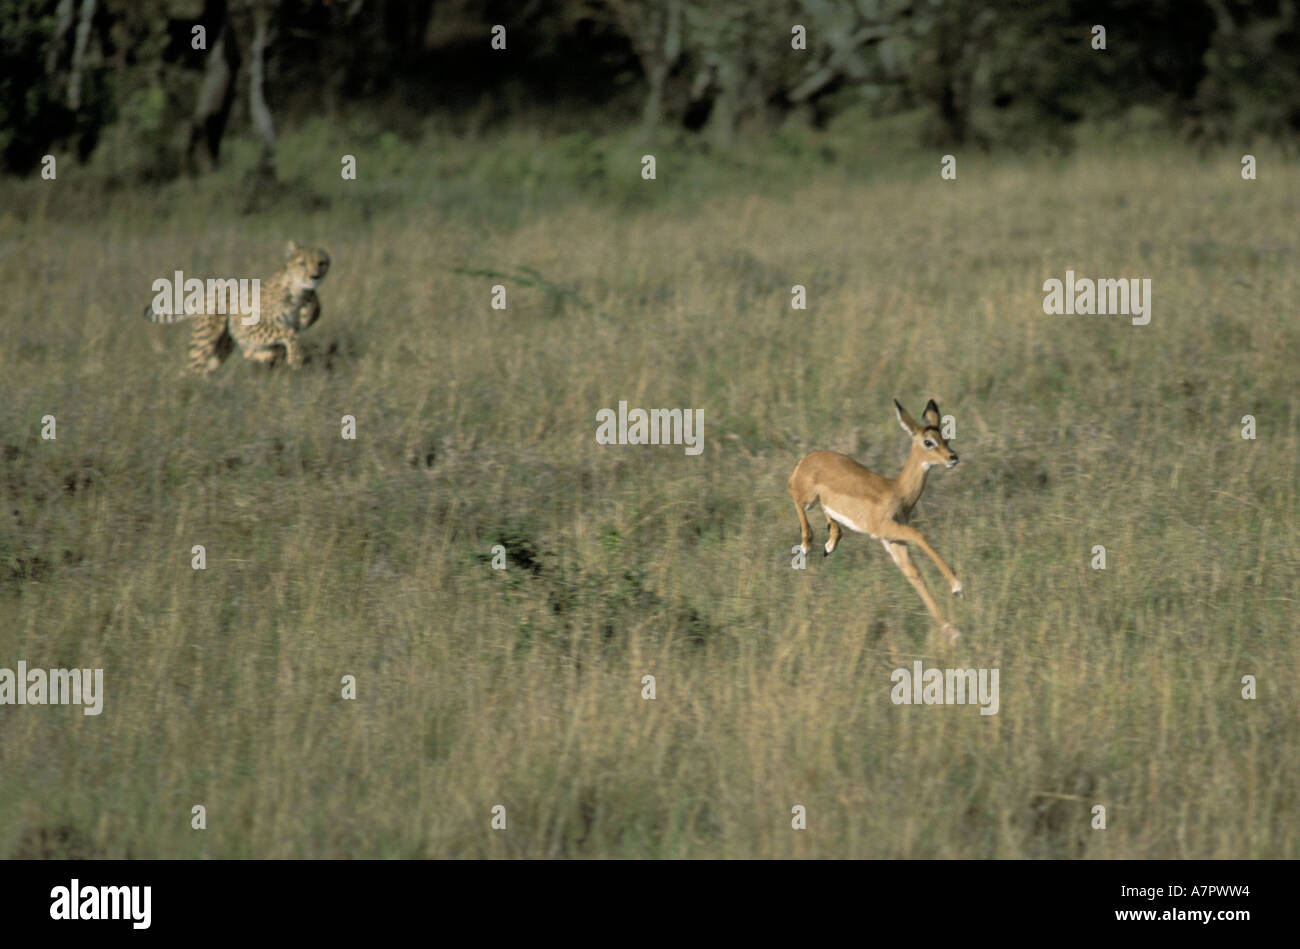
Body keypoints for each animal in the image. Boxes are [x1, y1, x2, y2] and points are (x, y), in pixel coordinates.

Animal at [143, 242, 329, 374]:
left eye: (321, 262)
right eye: (302, 263)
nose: (314, 276)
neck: (298, 291)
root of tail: (207, 288)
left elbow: (286, 337)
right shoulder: (248, 326)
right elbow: (288, 334)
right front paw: (296, 359)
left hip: (223, 345)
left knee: (209, 366)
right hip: (206, 337)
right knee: (192, 368)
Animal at [788, 398, 964, 640]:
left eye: (945, 439)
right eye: (928, 441)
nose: (953, 458)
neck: (897, 491)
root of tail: (806, 459)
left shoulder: (892, 541)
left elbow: (914, 574)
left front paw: (951, 629)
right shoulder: (884, 529)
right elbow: (918, 534)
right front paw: (957, 586)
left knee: (826, 511)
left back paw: (831, 543)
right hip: (807, 498)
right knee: (792, 493)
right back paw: (807, 545)